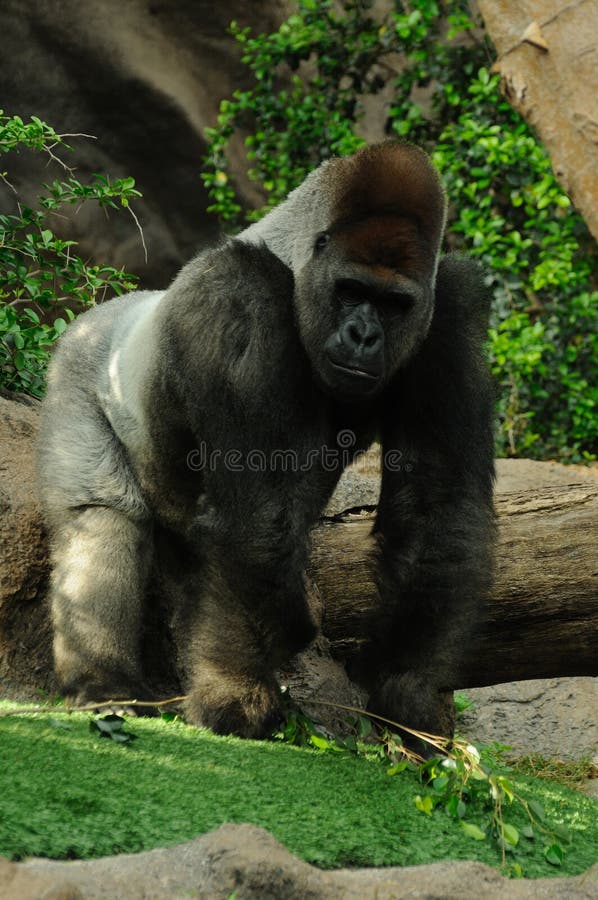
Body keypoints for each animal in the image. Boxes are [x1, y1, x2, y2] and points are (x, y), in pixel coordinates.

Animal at [37, 141, 495, 747]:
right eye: (351, 291)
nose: (364, 336)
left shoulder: (449, 312)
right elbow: (253, 518)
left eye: (395, 304)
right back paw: (103, 683)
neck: (298, 260)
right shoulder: (239, 292)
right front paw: (241, 692)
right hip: (77, 367)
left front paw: (405, 689)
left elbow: (436, 510)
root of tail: (101, 311)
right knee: (102, 513)